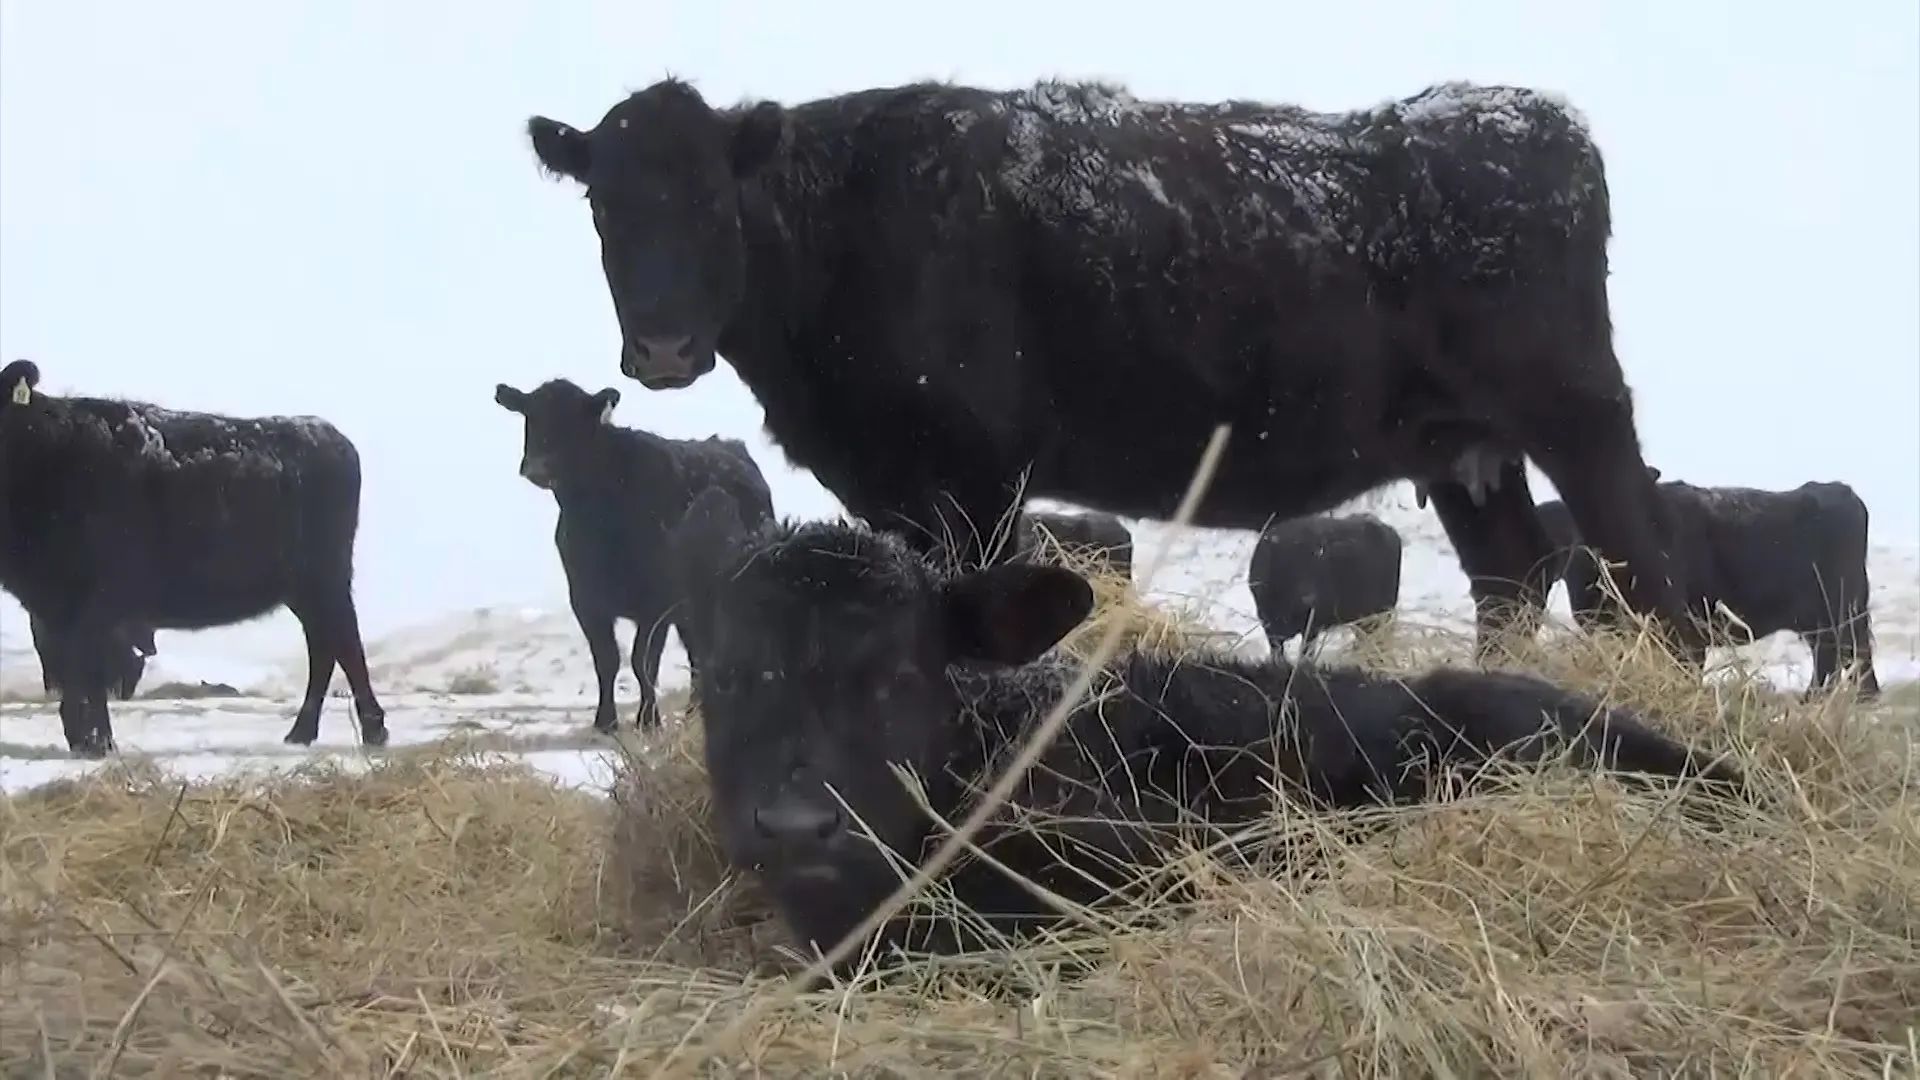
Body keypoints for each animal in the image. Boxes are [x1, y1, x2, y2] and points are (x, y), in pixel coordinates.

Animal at [0, 360, 387, 757]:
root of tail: (325, 432)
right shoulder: (50, 609)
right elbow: (70, 674)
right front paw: (83, 740)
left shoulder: (96, 601)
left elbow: (89, 676)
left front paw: (97, 743)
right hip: (303, 589)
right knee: (326, 644)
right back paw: (303, 733)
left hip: (325, 579)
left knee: (343, 642)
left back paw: (371, 731)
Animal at [494, 377, 775, 730]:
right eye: (530, 415)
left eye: (577, 420)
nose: (537, 467)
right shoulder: (586, 600)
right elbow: (606, 660)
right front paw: (605, 721)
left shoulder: (658, 603)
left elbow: (644, 662)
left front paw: (648, 719)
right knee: (698, 655)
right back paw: (694, 710)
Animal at [1247, 513, 1403, 659]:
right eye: (1287, 565)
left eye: (1318, 561)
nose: (1308, 597)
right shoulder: (1269, 627)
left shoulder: (1311, 628)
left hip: (1381, 611)